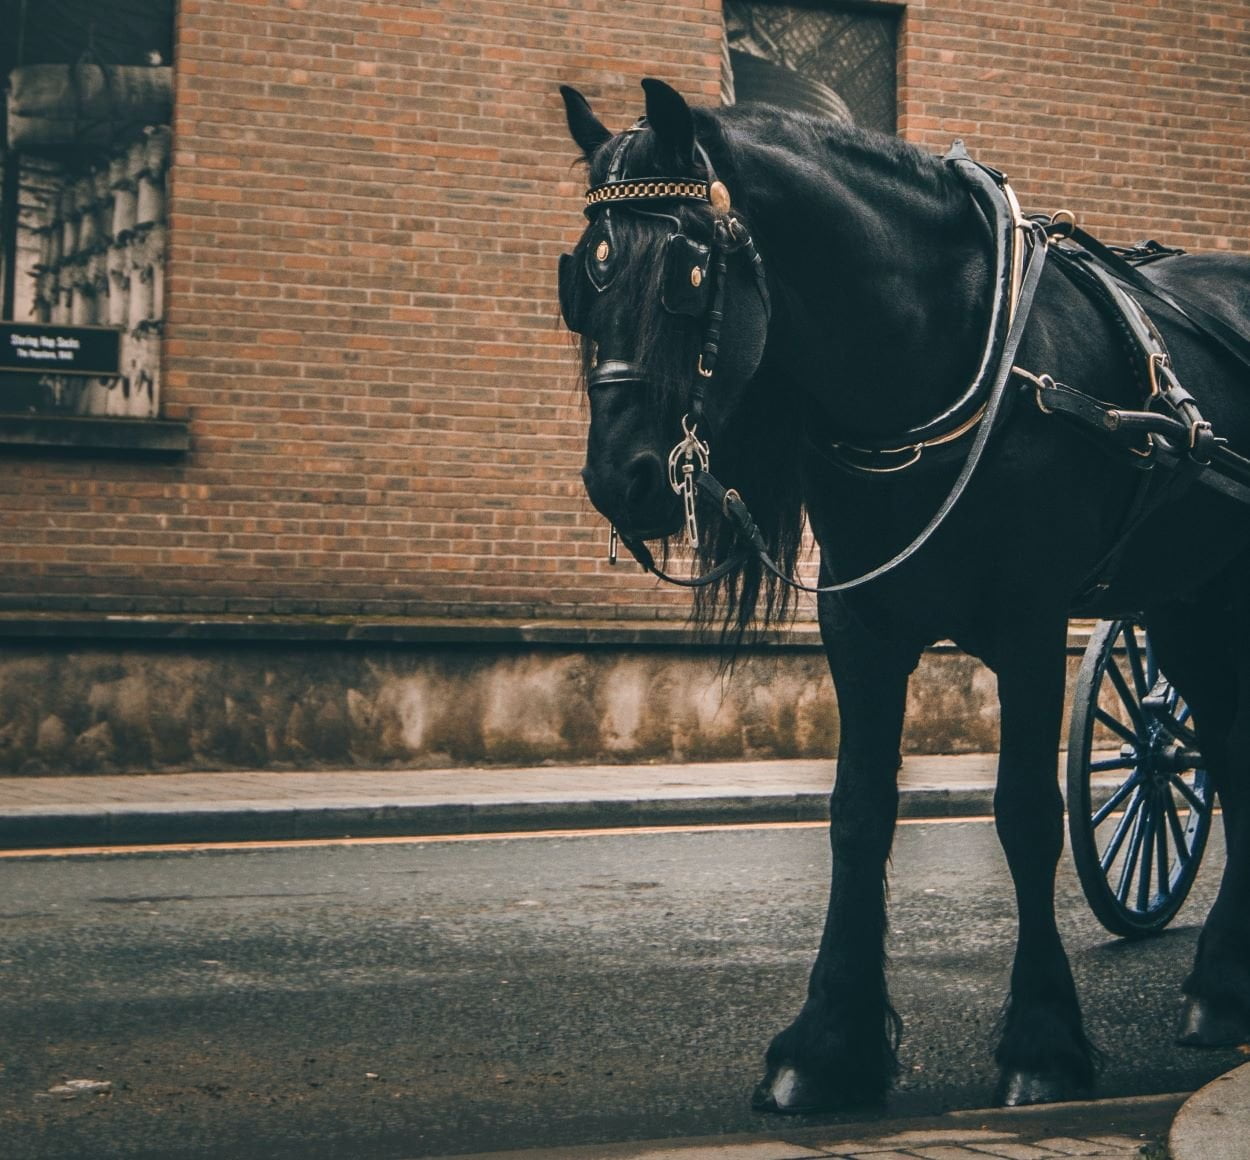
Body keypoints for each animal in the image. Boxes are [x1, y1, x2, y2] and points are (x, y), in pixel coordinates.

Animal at [555, 77, 1250, 1112]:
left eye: (688, 269)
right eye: (583, 275)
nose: (619, 479)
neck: (941, 355)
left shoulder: (1032, 622)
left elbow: (1026, 815)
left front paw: (1043, 1041)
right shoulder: (861, 626)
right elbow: (857, 814)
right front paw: (827, 1044)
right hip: (1189, 596)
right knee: (1229, 752)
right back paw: (1222, 985)